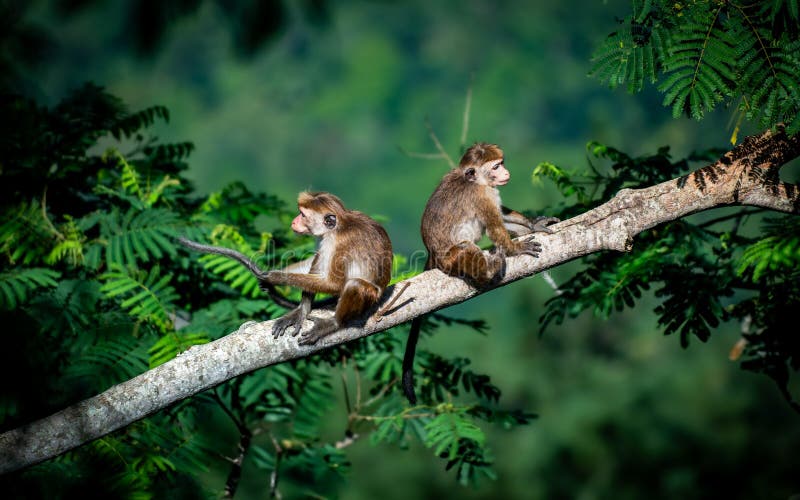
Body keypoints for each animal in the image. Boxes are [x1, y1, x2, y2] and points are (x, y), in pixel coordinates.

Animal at [180, 191, 393, 345]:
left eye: (303, 215)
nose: (294, 221)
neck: (341, 224)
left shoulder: (340, 243)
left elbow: (334, 283)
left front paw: (274, 277)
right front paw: (297, 306)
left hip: (371, 296)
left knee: (355, 284)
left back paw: (334, 323)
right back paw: (302, 311)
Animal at [402, 142, 559, 403]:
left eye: (501, 163)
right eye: (495, 167)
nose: (505, 172)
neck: (474, 180)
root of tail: (432, 253)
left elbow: (501, 216)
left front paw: (533, 224)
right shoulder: (482, 195)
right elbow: (494, 227)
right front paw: (515, 248)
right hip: (450, 259)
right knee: (467, 248)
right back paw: (491, 268)